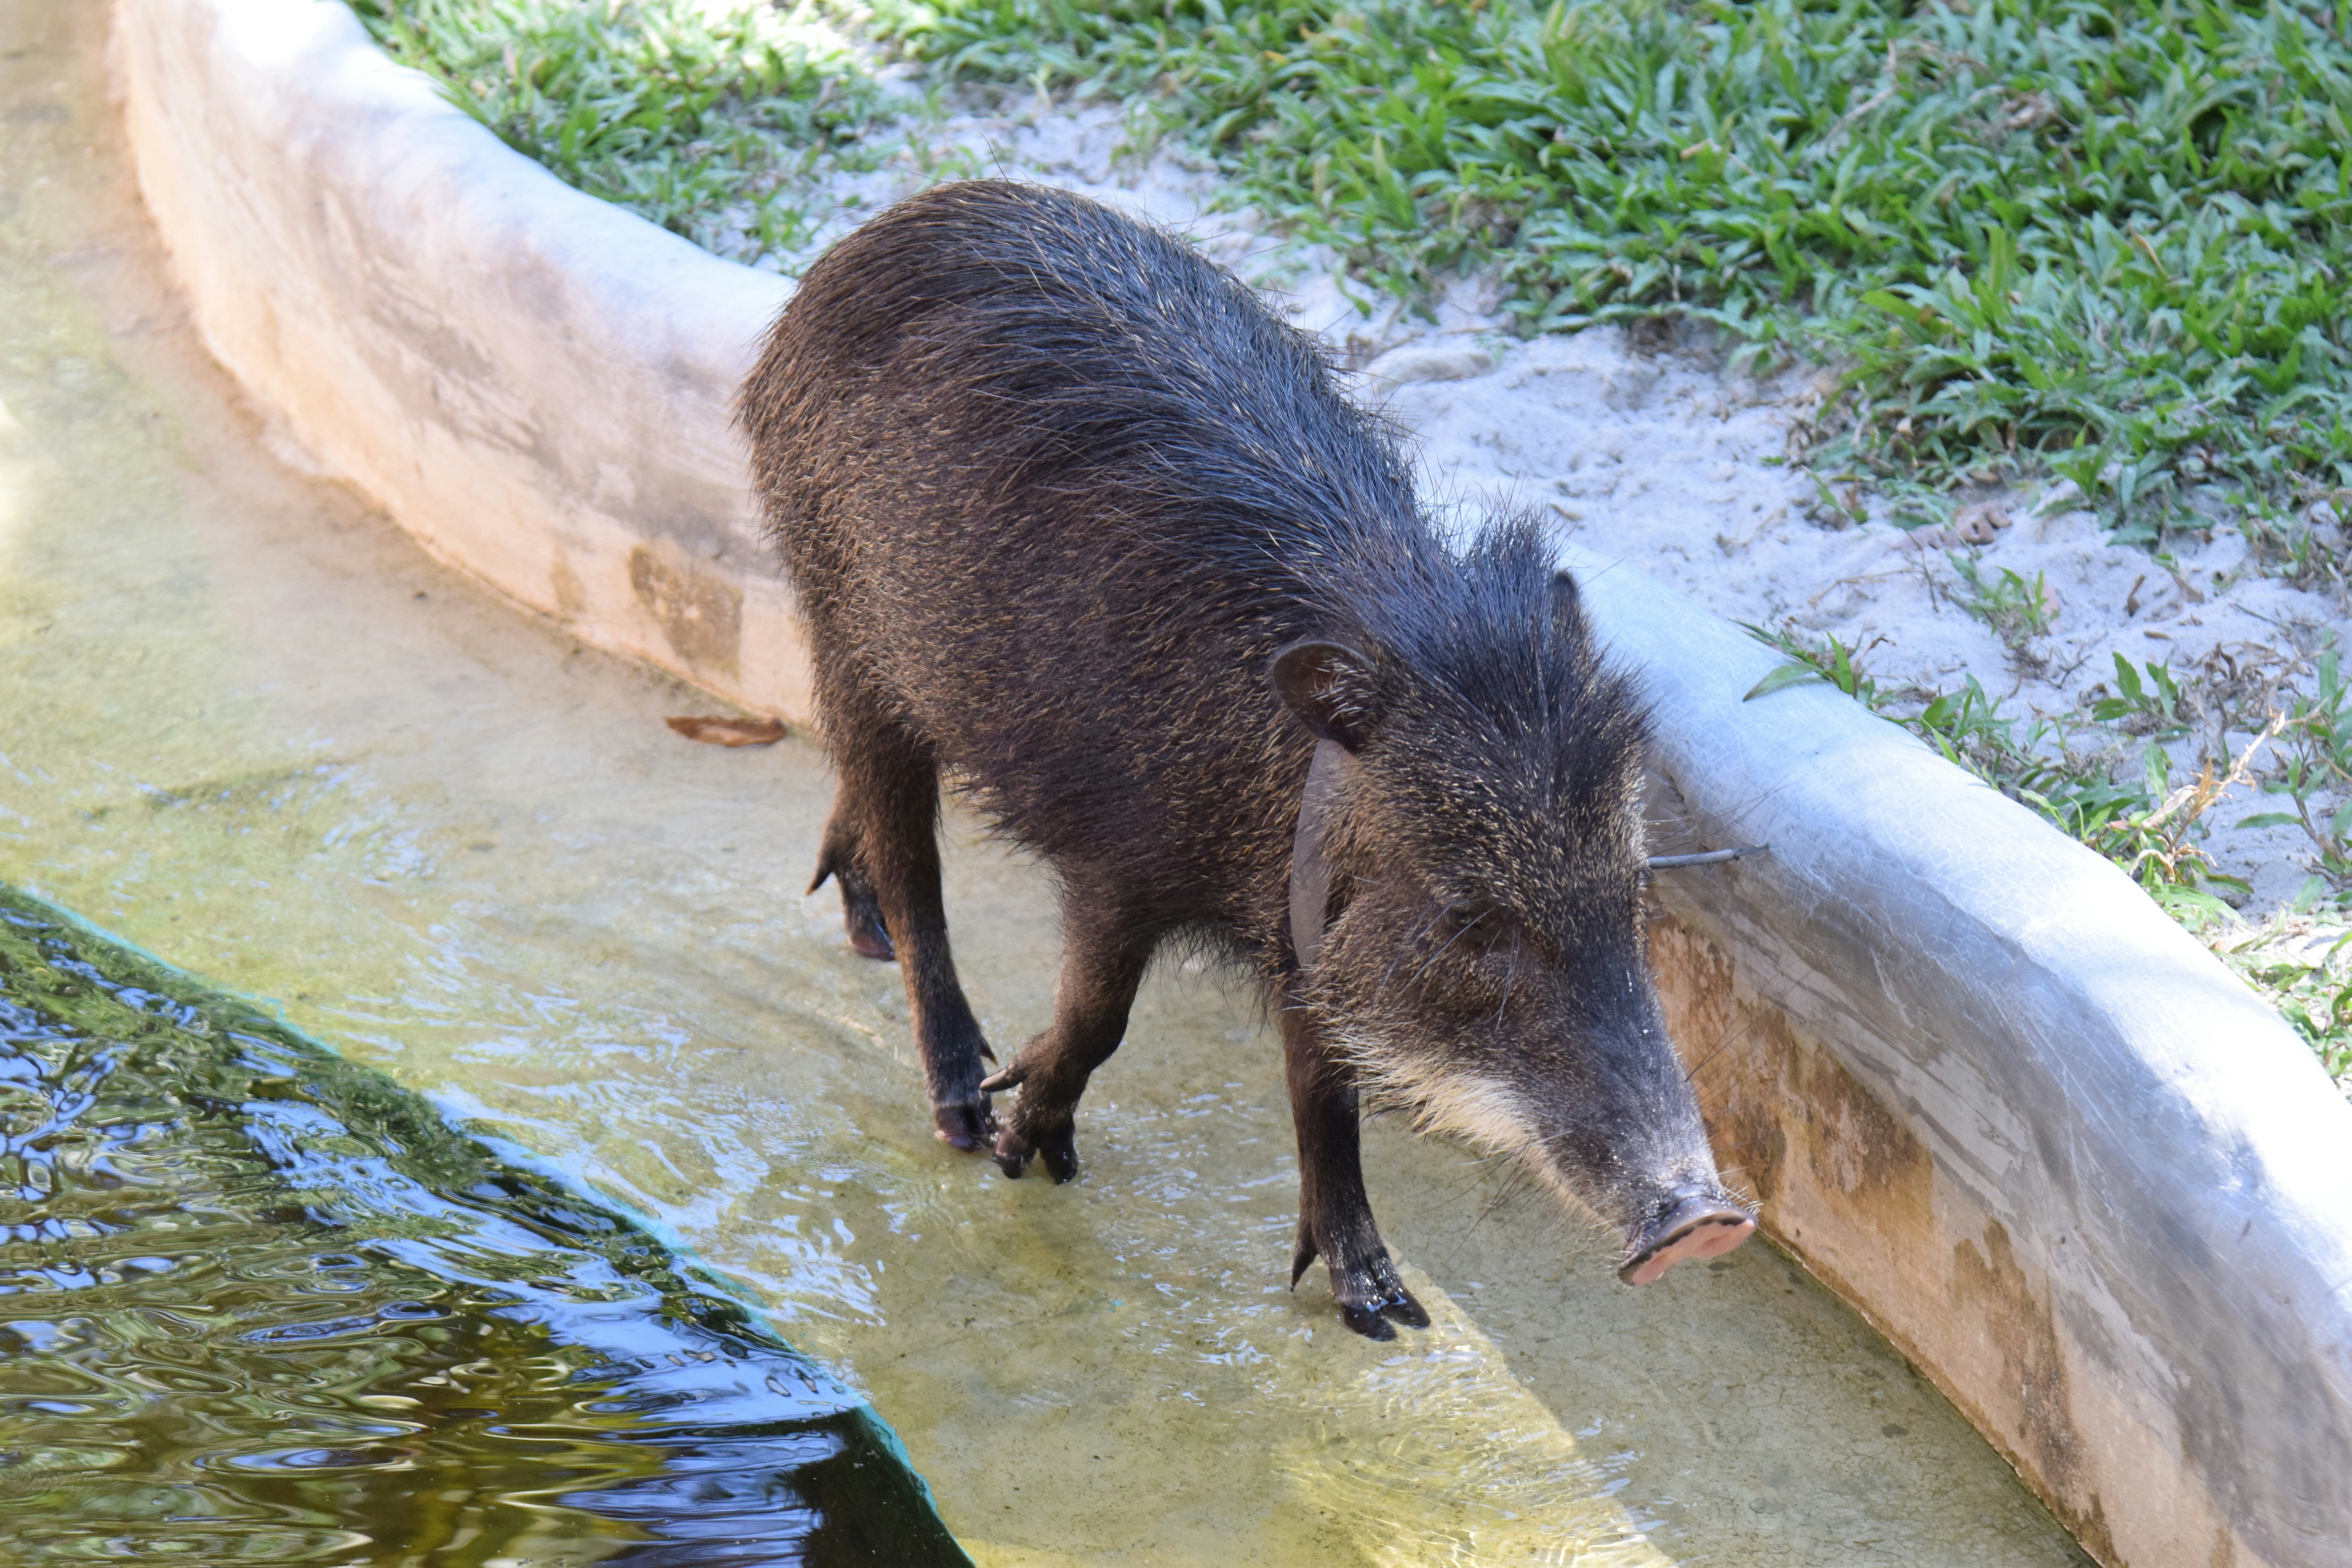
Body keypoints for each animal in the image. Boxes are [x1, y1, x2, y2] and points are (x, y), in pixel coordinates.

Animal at [738, 180, 1754, 1338]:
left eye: (1634, 893)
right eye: (1470, 917)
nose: (1707, 1220)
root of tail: (870, 238)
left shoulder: (1307, 932)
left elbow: (1325, 1094)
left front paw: (1384, 1312)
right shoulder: (1121, 868)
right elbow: (1100, 1018)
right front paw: (1023, 1147)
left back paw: (862, 934)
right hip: (848, 627)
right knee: (911, 863)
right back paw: (954, 1099)